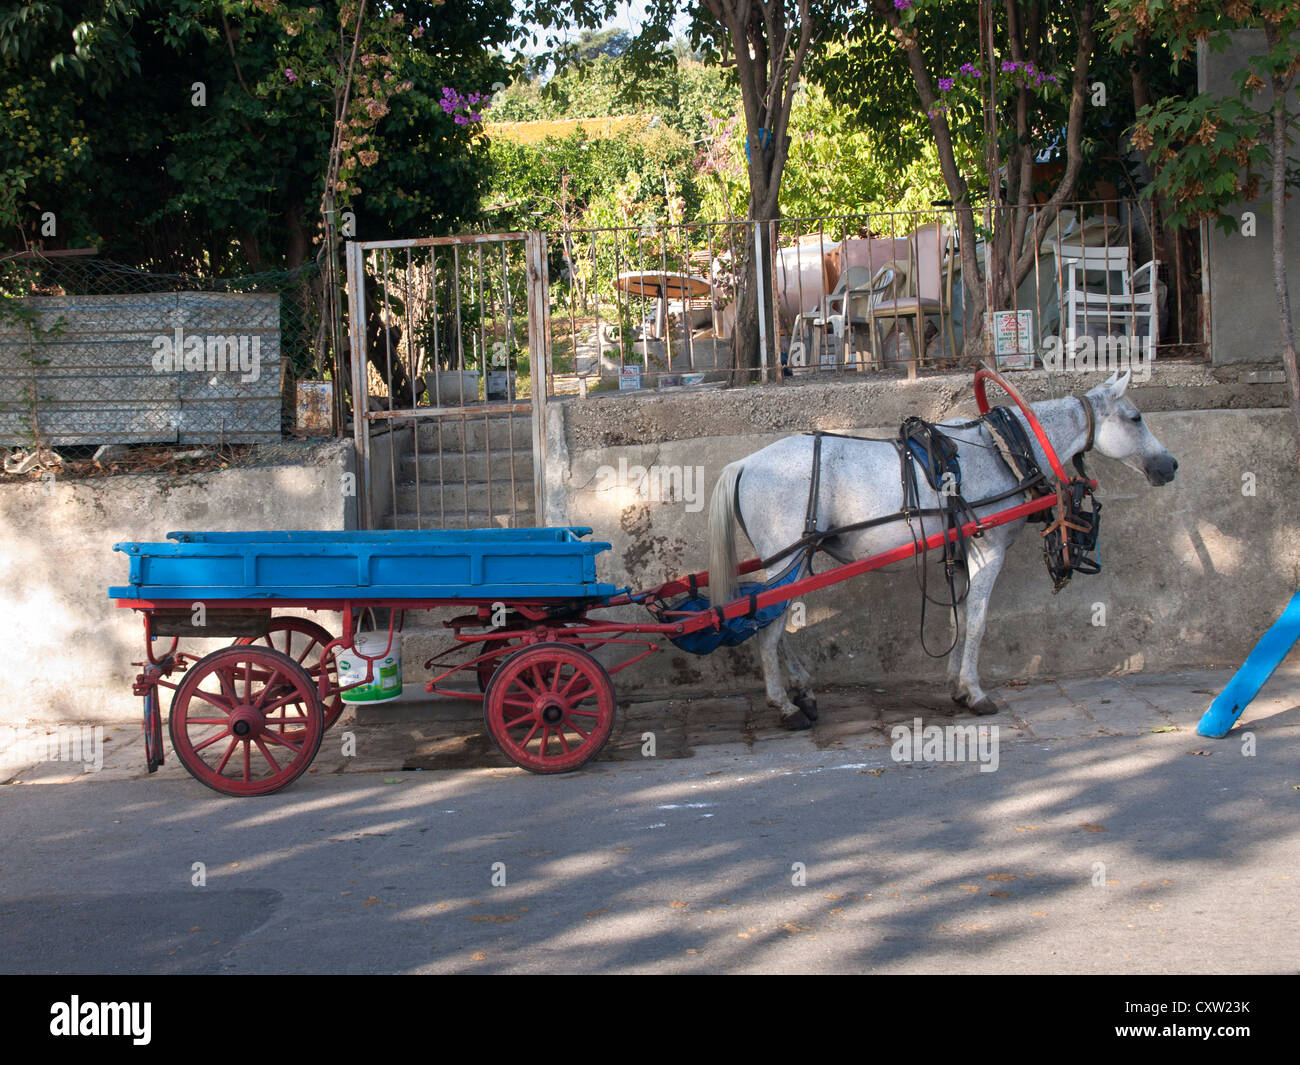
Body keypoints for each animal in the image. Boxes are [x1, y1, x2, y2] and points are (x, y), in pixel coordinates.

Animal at [705, 370, 1178, 729]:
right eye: (1135, 417)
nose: (1170, 465)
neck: (1002, 451)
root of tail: (744, 463)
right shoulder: (988, 551)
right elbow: (979, 622)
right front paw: (977, 692)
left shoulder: (964, 553)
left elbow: (962, 619)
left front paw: (957, 686)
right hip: (789, 559)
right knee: (769, 629)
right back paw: (785, 705)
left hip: (790, 565)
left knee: (772, 623)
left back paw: (802, 690)